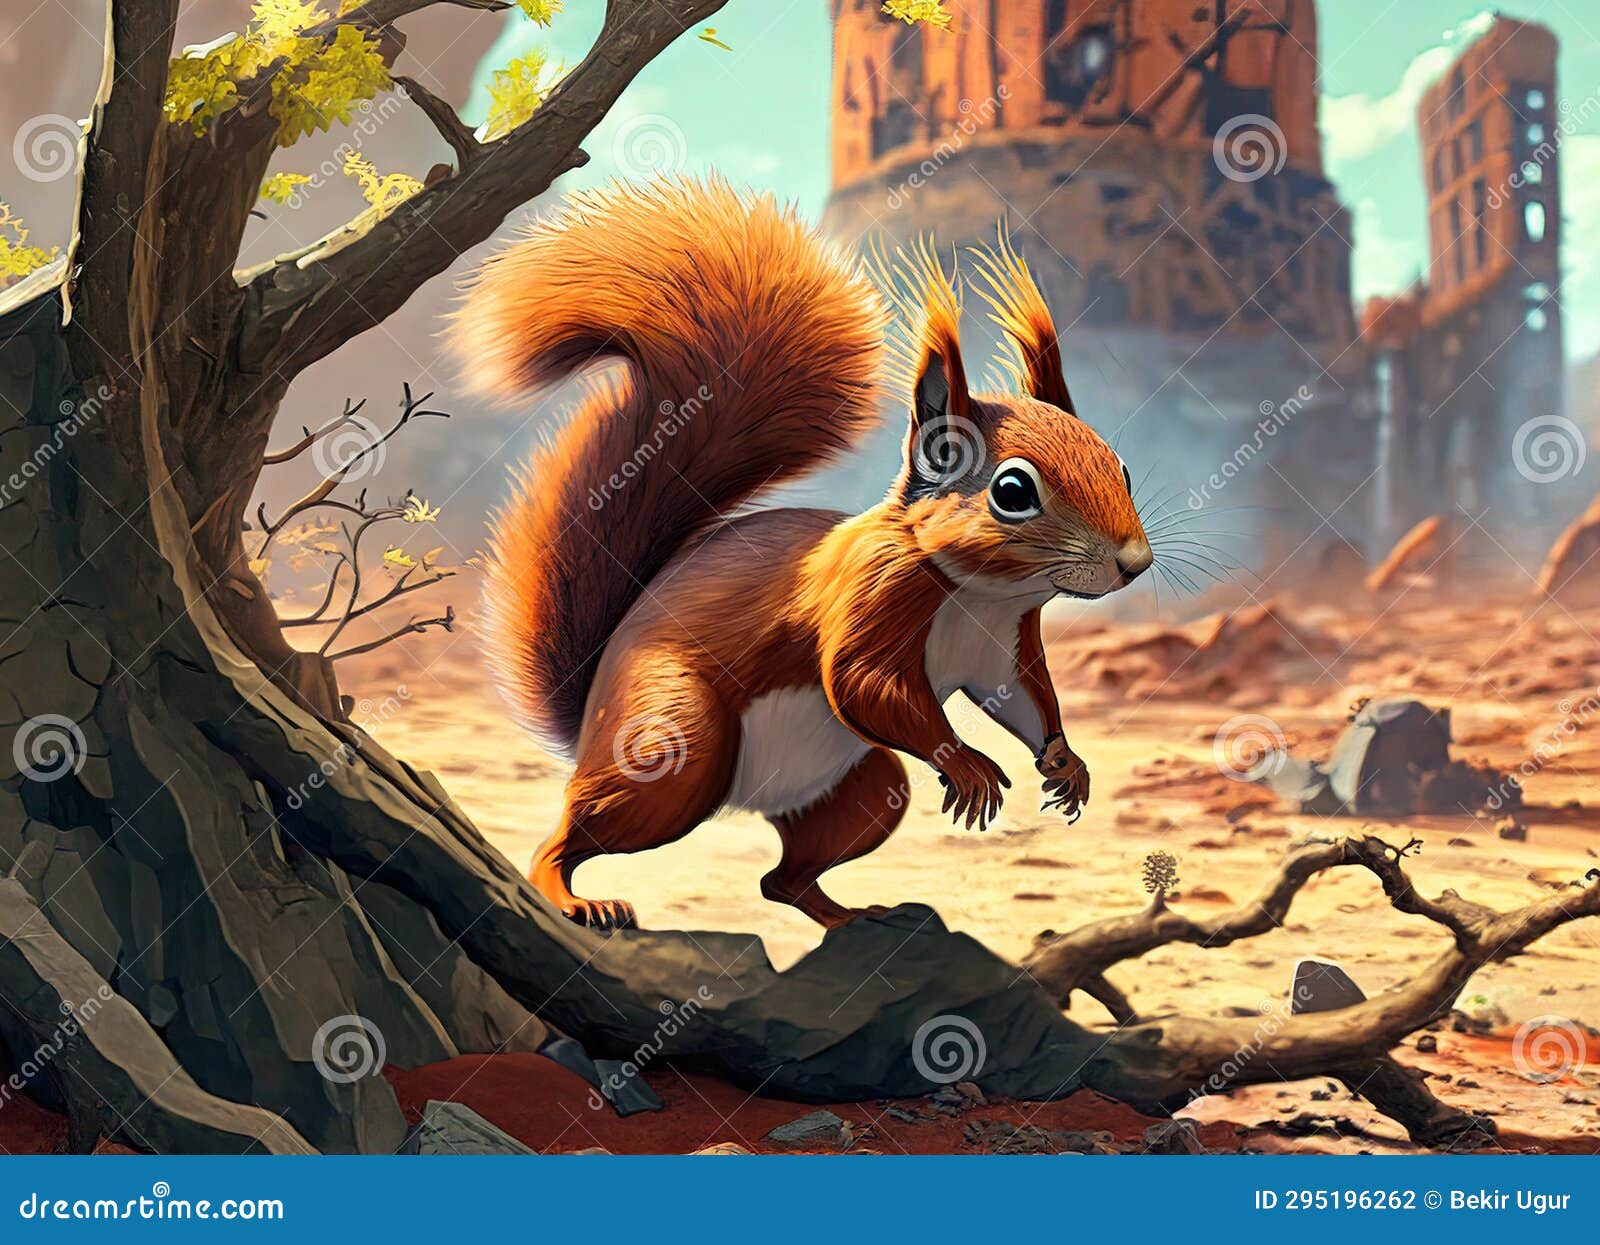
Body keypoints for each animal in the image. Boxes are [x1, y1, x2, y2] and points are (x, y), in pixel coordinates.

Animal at [453, 176, 1152, 931]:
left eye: (1120, 466)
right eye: (1014, 490)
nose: (1134, 562)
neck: (978, 592)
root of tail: (591, 718)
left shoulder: (1004, 646)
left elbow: (1025, 699)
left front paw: (1066, 762)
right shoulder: (869, 596)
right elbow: (860, 681)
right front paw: (966, 763)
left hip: (863, 787)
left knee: (781, 878)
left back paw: (855, 917)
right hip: (675, 745)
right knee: (570, 832)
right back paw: (567, 891)